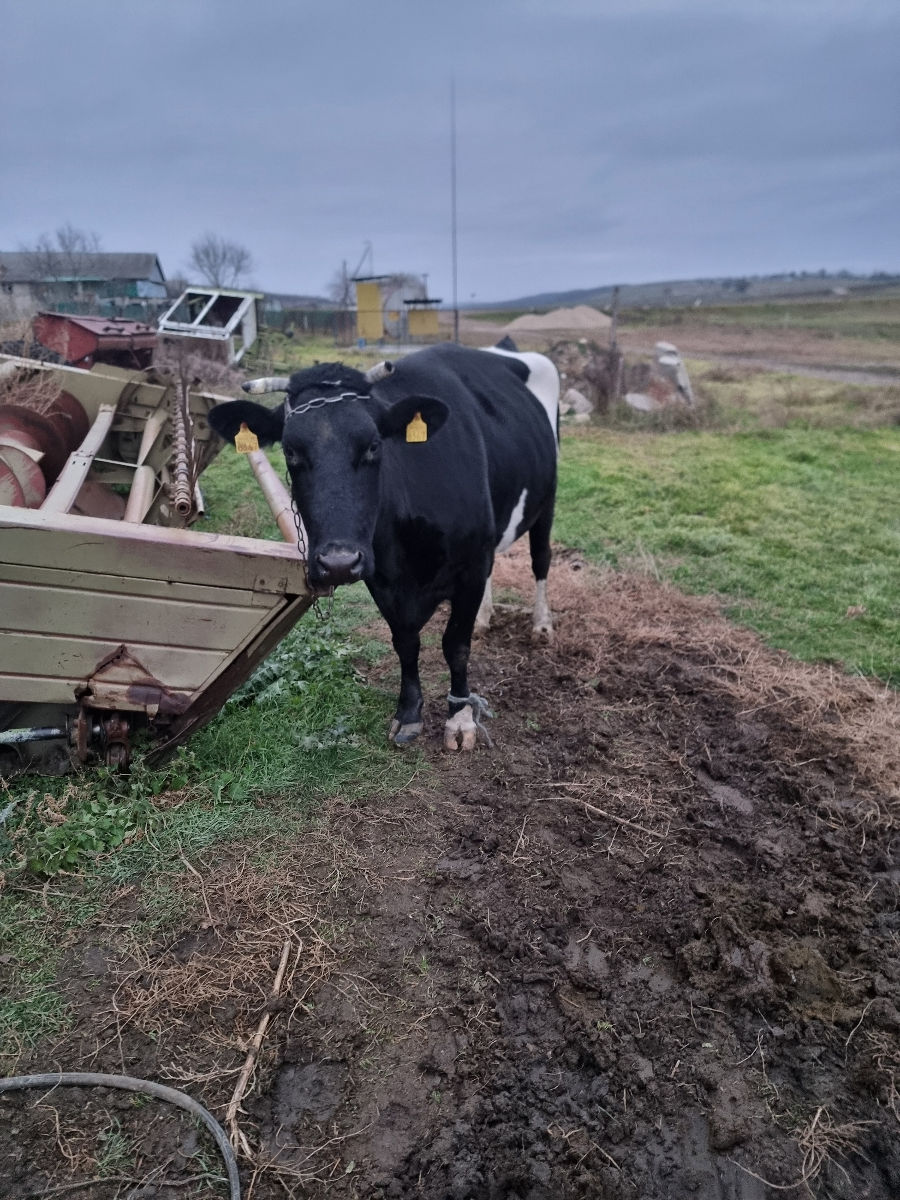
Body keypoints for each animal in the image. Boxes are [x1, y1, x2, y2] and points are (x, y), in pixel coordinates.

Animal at [208, 341, 559, 751]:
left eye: (374, 445)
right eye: (290, 451)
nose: (338, 562)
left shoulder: (470, 565)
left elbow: (456, 645)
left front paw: (460, 718)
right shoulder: (382, 578)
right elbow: (405, 643)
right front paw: (408, 713)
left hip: (547, 499)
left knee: (540, 560)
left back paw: (541, 624)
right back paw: (486, 618)